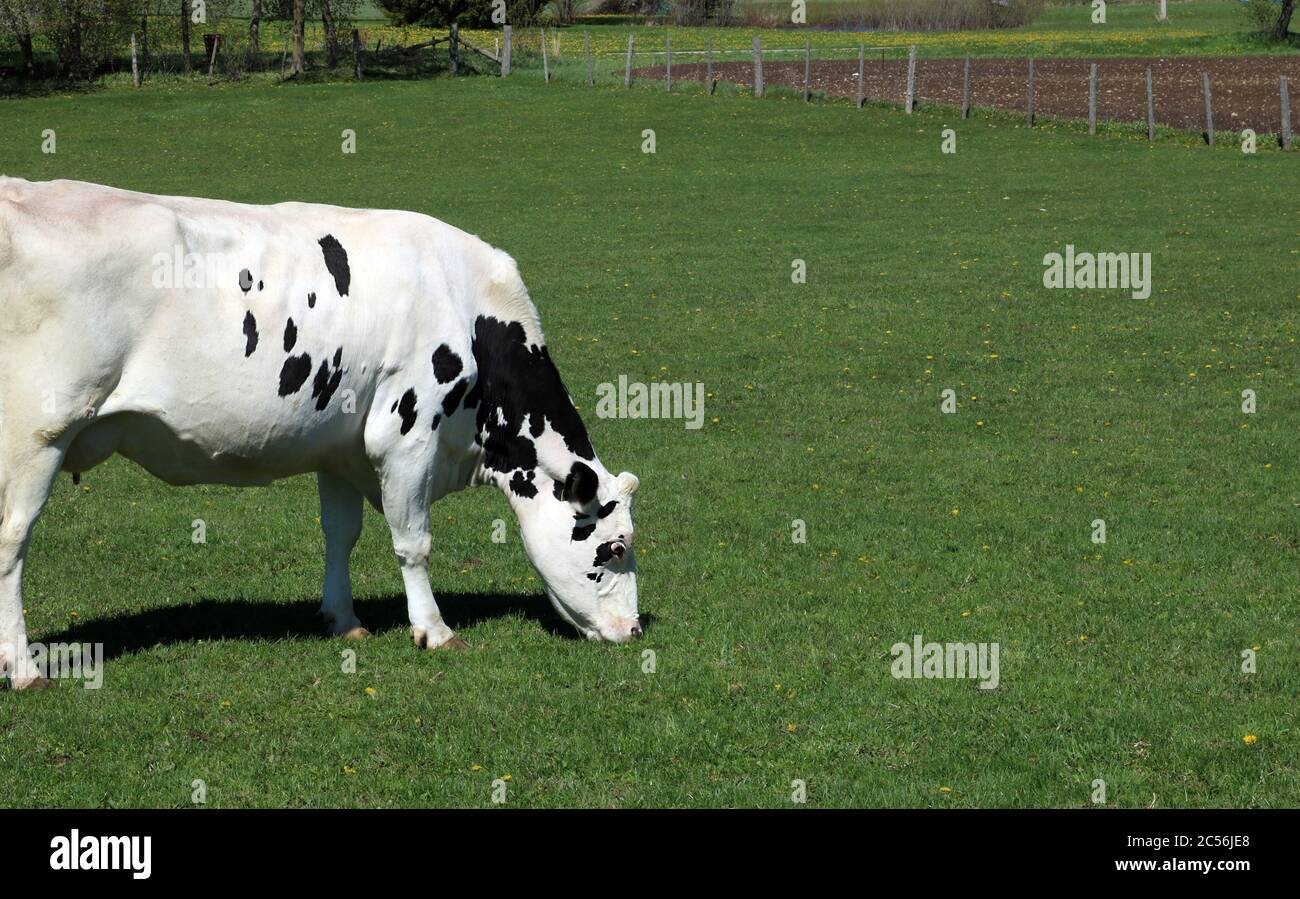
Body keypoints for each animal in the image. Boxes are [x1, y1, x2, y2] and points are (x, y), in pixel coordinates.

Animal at [0, 177, 643, 690]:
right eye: (614, 548)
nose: (635, 631)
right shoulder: (406, 435)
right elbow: (414, 543)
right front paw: (434, 630)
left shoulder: (340, 447)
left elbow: (341, 534)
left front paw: (344, 619)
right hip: (38, 436)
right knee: (12, 539)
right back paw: (26, 671)